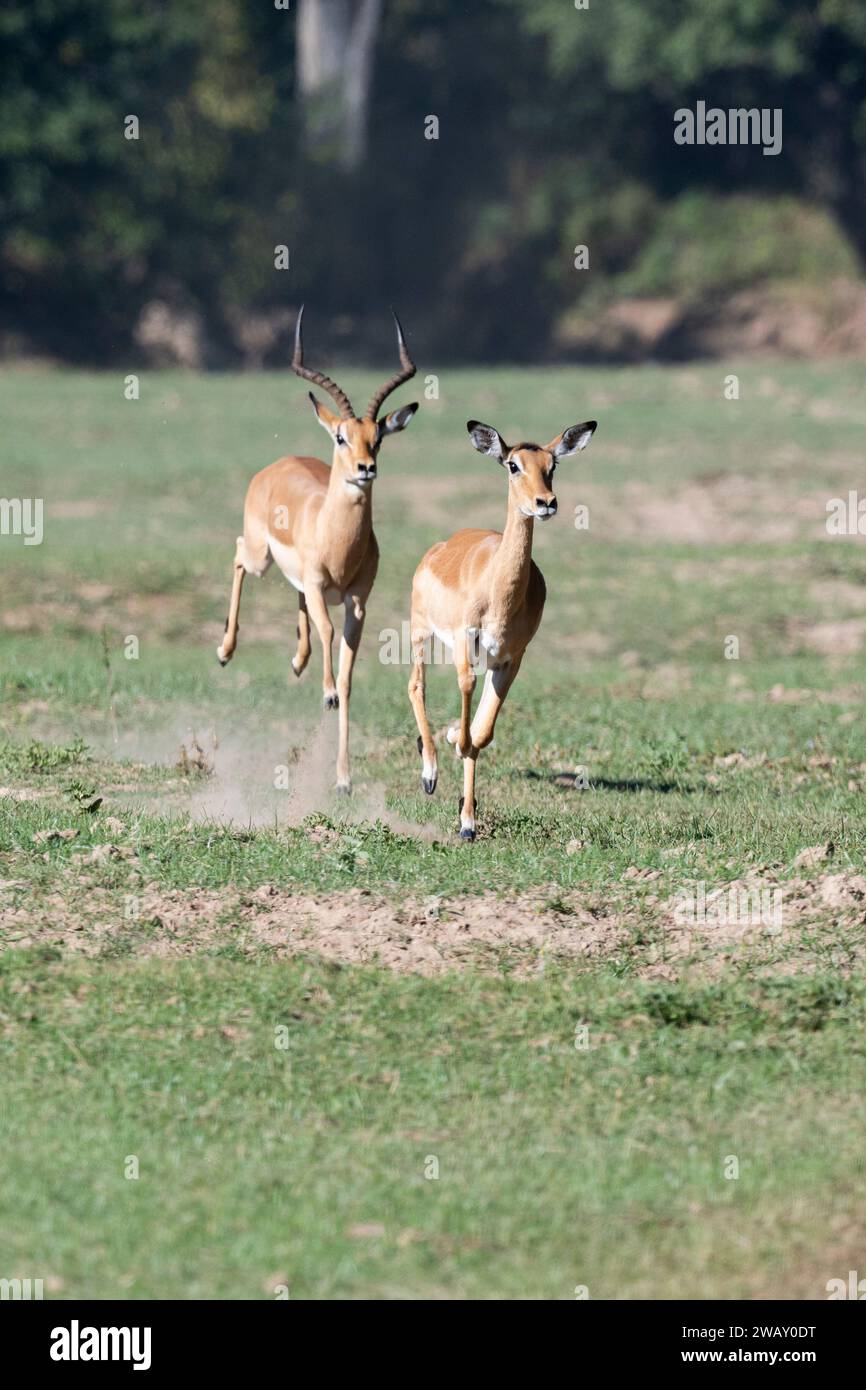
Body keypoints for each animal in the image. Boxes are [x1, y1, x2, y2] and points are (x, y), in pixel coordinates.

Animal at [217, 307, 418, 792]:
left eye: (378, 437)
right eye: (341, 437)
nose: (366, 468)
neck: (338, 543)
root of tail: (278, 464)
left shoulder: (357, 601)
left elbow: (348, 677)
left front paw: (343, 778)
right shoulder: (318, 585)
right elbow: (327, 633)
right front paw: (325, 692)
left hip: (301, 582)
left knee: (297, 605)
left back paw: (297, 660)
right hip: (261, 557)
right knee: (238, 553)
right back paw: (225, 651)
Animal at [408, 416, 597, 839]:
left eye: (552, 465)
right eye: (513, 465)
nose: (545, 502)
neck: (500, 593)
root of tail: (440, 547)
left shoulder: (511, 658)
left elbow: (483, 732)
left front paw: (468, 820)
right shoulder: (466, 642)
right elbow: (465, 696)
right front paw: (453, 744)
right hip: (420, 633)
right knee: (416, 685)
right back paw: (429, 773)